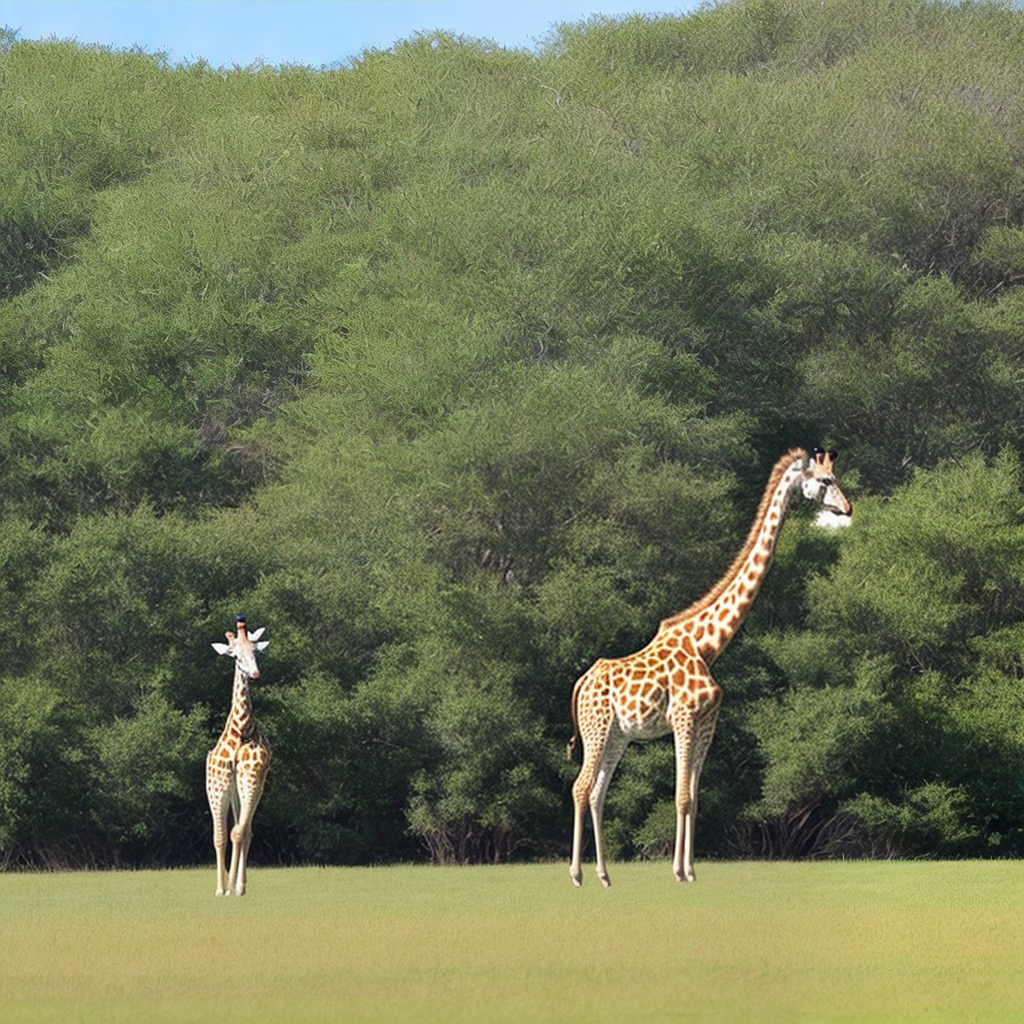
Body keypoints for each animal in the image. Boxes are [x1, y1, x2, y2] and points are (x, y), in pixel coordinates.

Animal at [568, 447, 852, 887]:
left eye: (835, 478)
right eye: (825, 481)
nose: (847, 507)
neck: (707, 645)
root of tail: (582, 681)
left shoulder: (706, 721)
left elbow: (695, 798)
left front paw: (690, 870)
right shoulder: (684, 717)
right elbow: (681, 795)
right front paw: (678, 872)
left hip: (617, 734)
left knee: (598, 792)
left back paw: (604, 875)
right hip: (595, 727)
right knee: (580, 788)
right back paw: (577, 875)